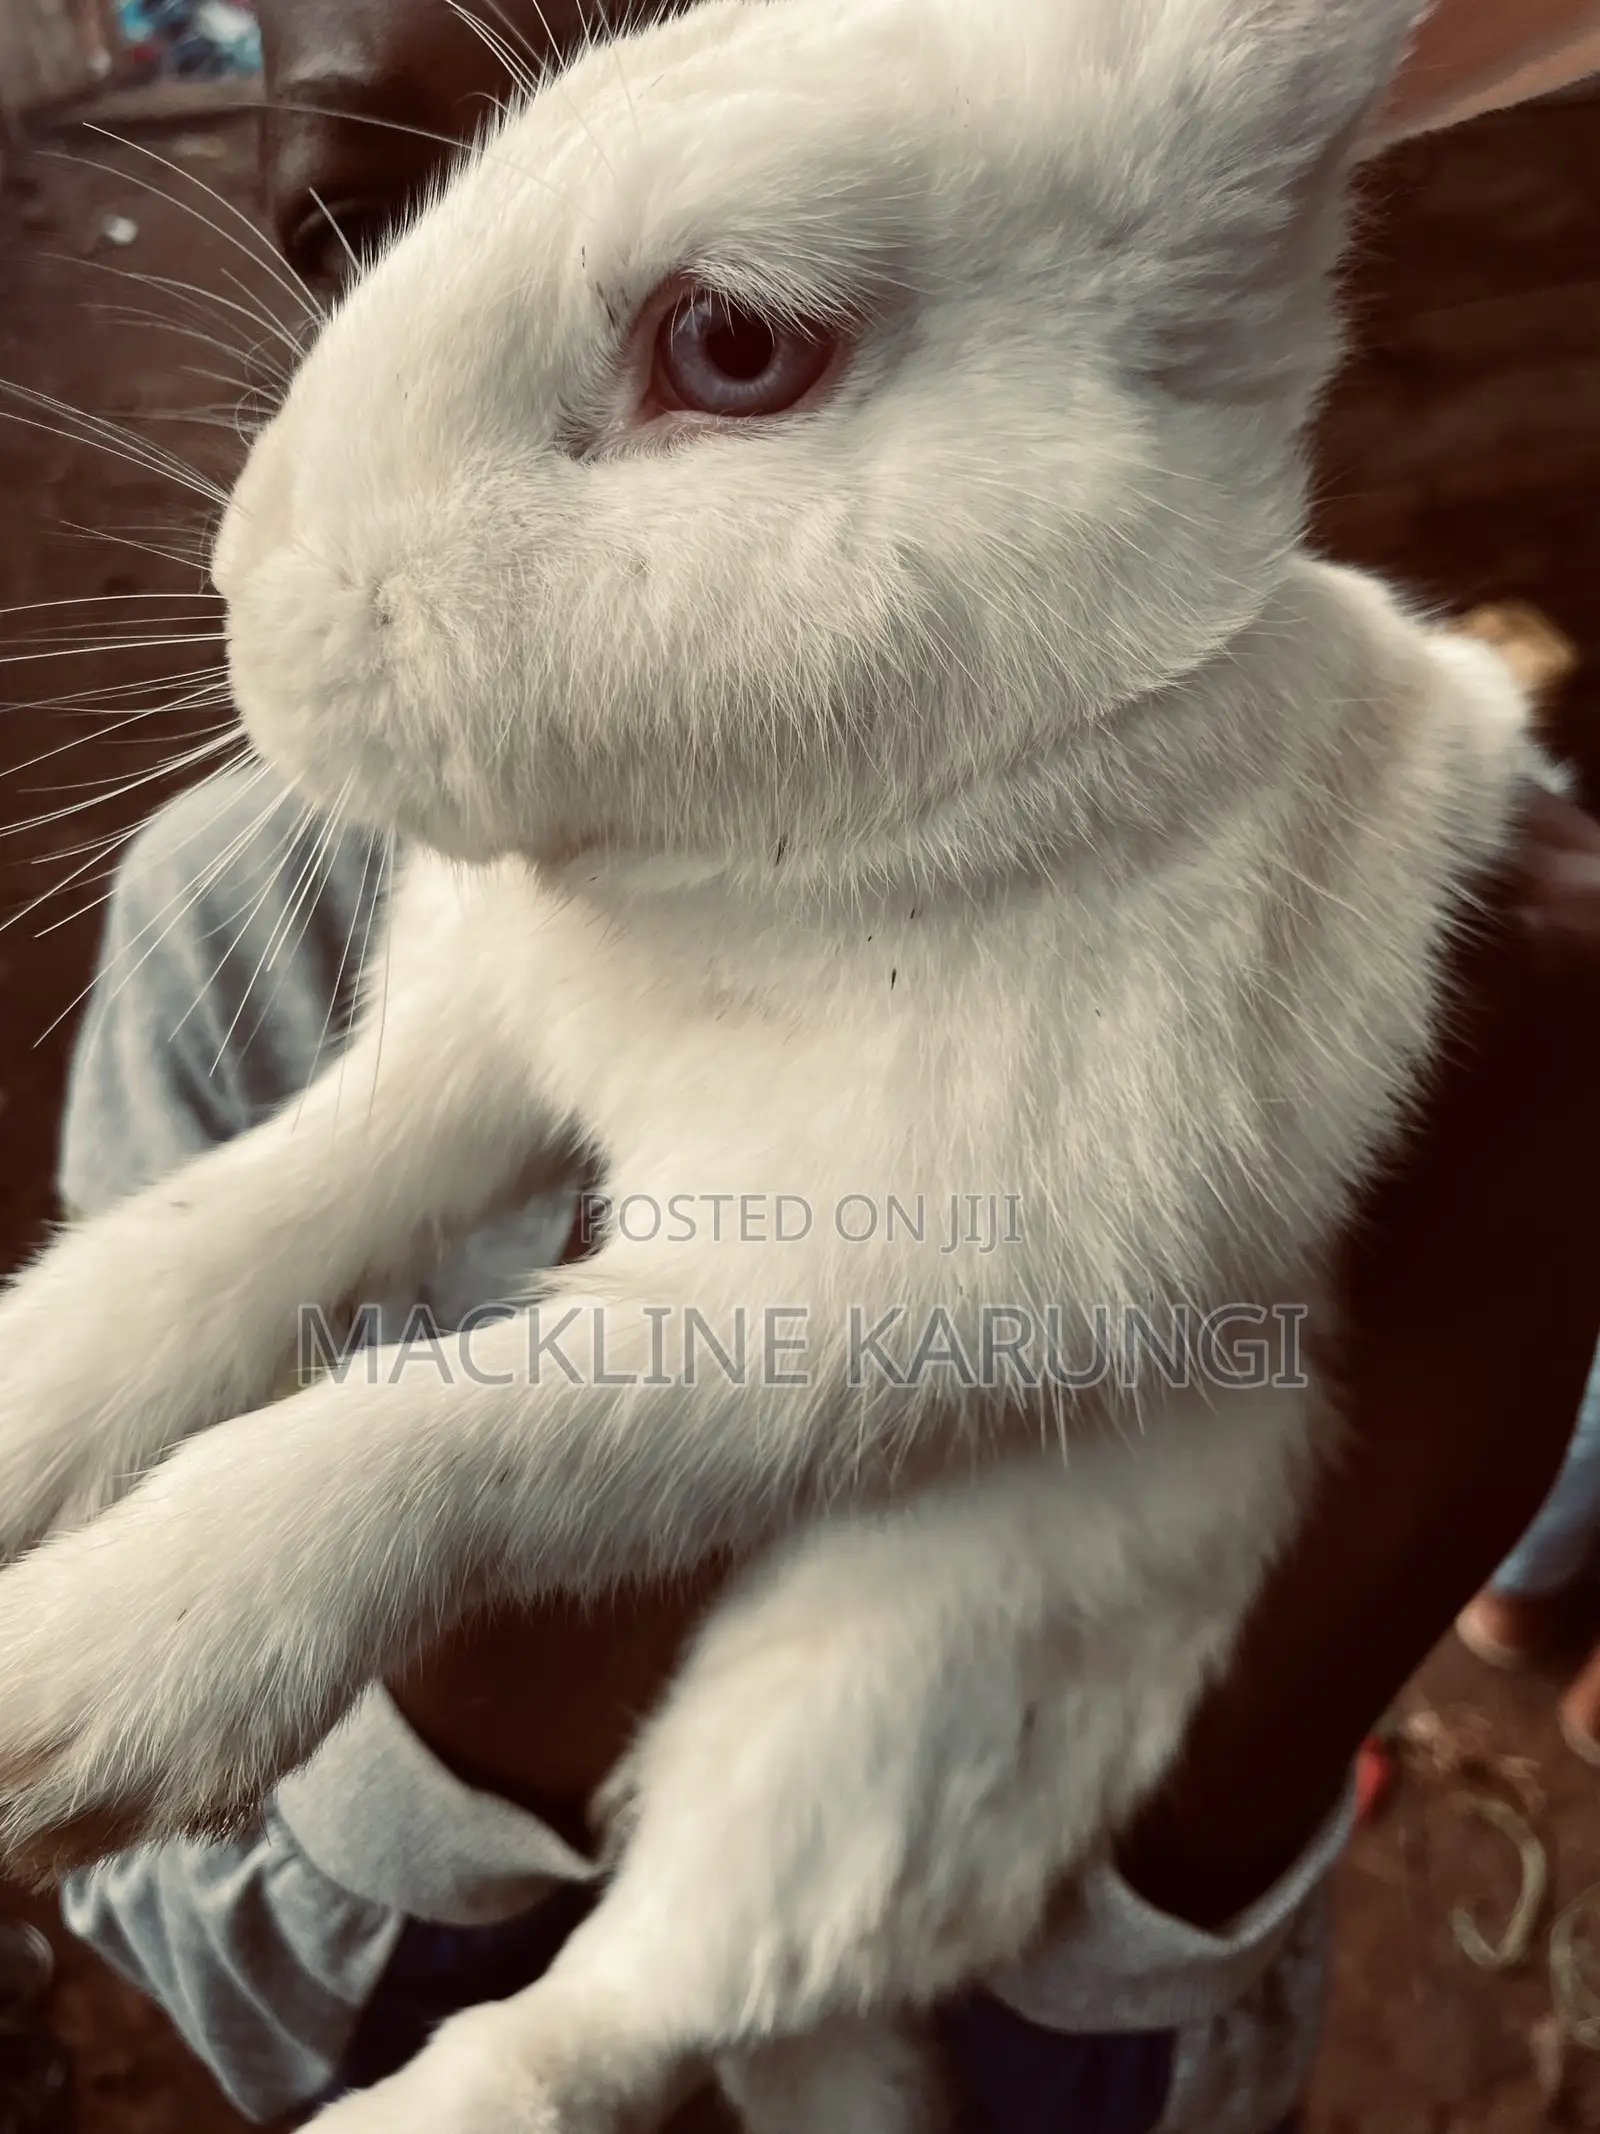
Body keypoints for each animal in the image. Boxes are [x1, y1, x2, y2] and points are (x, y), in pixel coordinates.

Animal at [0, 0, 1542, 2127]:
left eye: (729, 343)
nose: (246, 591)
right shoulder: (472, 1057)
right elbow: (238, 1226)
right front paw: (19, 1410)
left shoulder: (867, 1288)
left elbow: (446, 1426)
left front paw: (66, 1682)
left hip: (886, 1689)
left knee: (644, 1997)